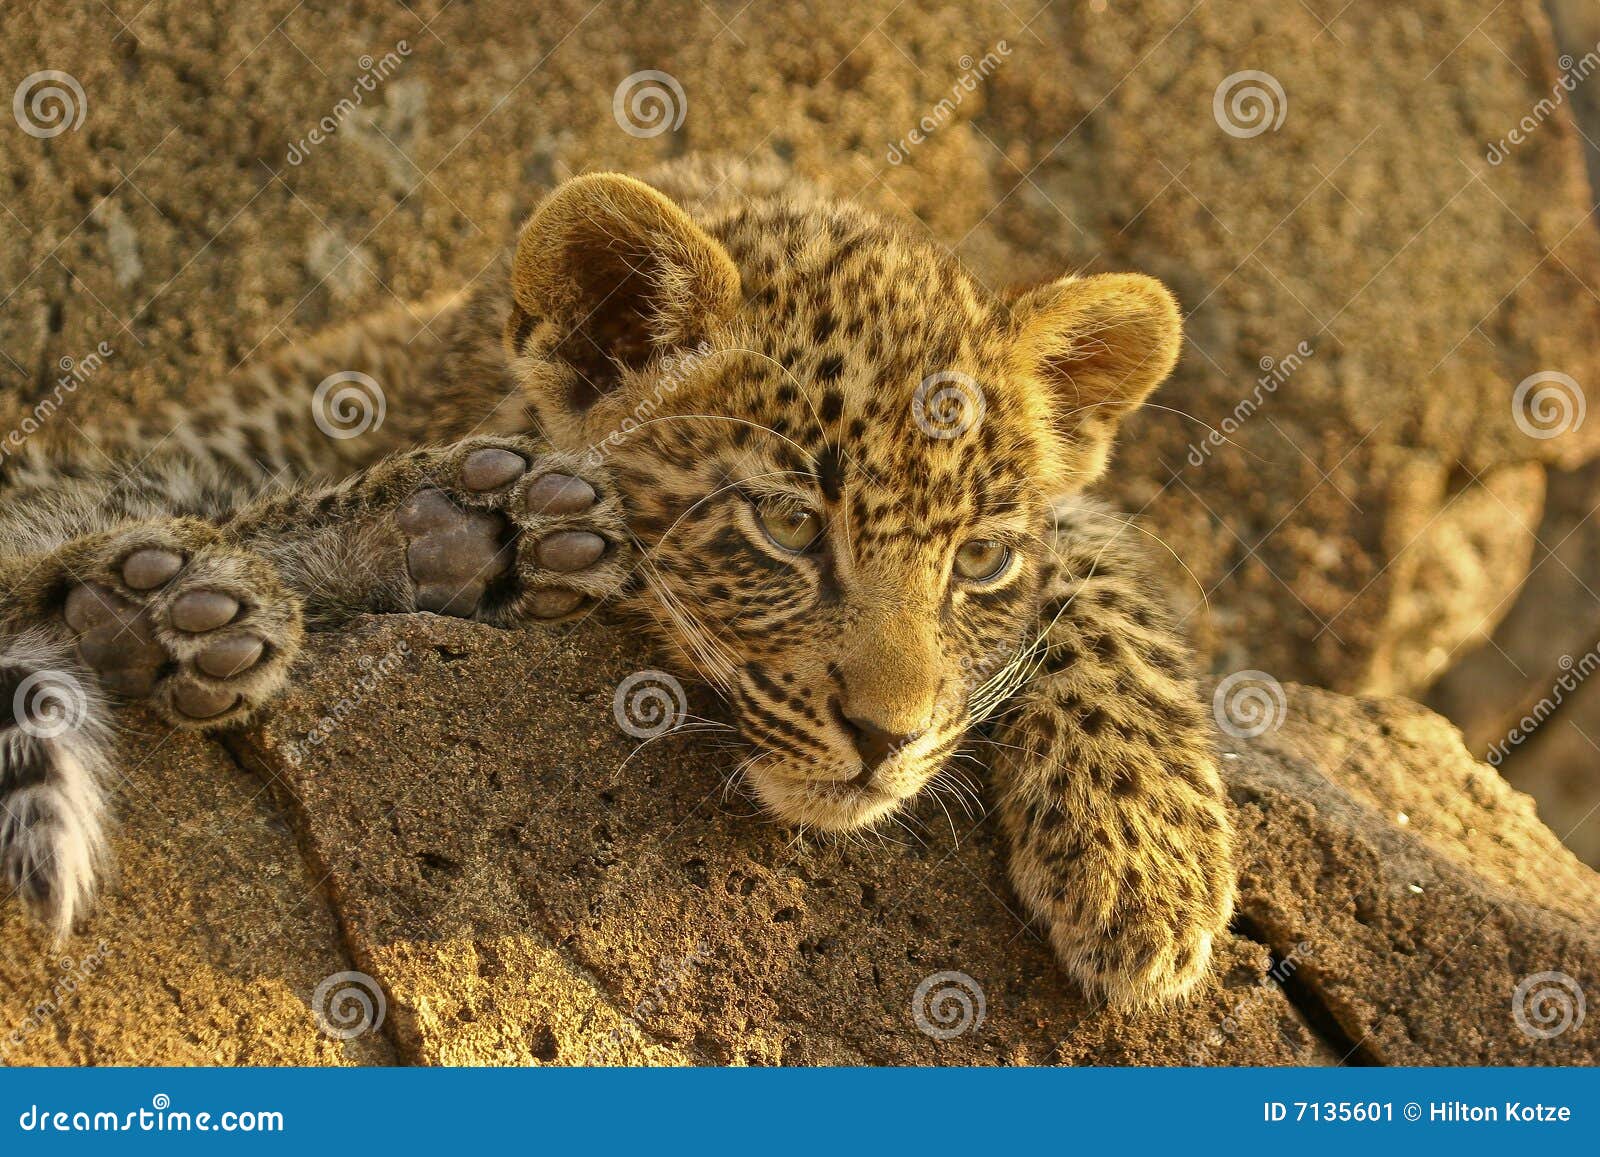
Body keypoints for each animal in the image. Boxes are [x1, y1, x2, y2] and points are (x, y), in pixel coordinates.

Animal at [0, 156, 1233, 1010]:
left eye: (979, 560)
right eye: (788, 524)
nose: (888, 738)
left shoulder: (1084, 527)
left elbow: (1102, 577)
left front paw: (1147, 861)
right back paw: (217, 590)